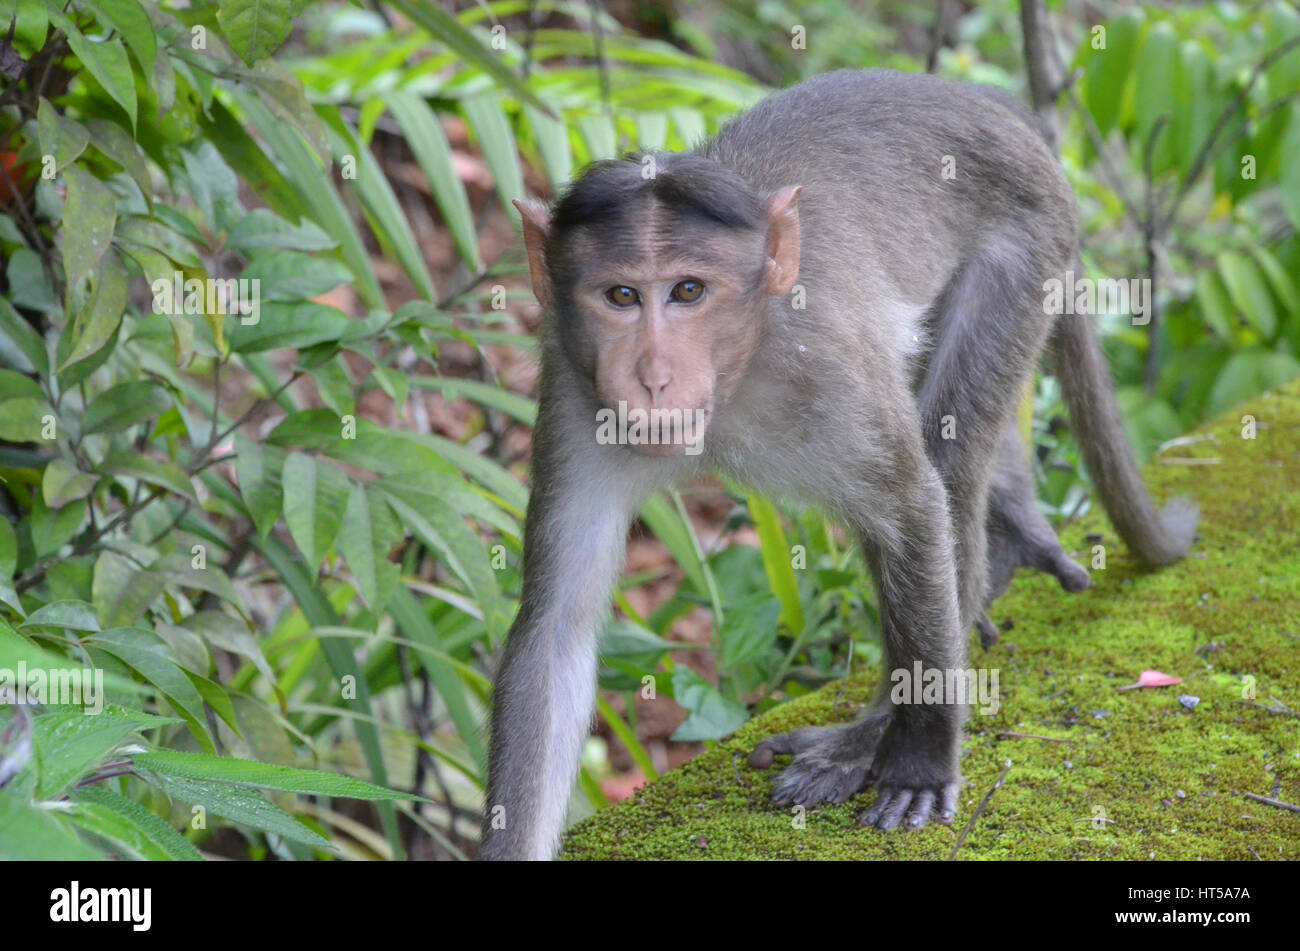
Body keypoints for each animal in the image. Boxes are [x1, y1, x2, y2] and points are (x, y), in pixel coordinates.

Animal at [479, 69, 1197, 860]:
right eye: (621, 296)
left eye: (688, 291)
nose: (654, 377)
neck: (737, 366)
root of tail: (991, 104)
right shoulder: (574, 389)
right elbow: (555, 631)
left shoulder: (825, 361)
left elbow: (915, 503)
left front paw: (918, 762)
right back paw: (1013, 519)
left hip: (1028, 243)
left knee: (949, 459)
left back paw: (875, 733)